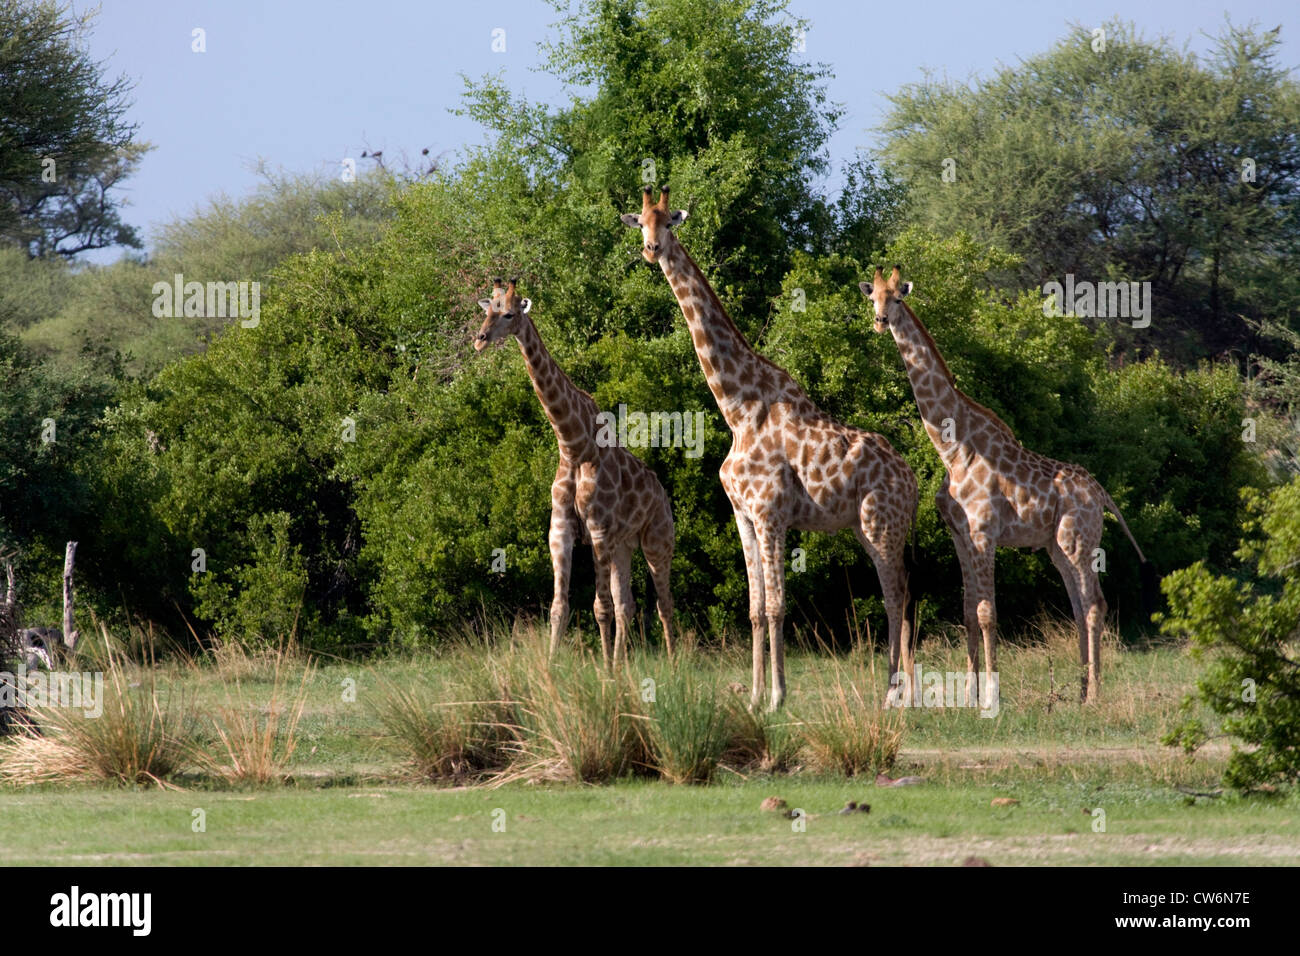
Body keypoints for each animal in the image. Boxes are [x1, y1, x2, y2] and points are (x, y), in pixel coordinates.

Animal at [474, 279, 675, 667]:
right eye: (487, 310)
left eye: (509, 314)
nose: (479, 339)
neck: (572, 445)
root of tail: (662, 493)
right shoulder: (561, 530)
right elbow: (559, 607)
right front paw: (555, 668)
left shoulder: (597, 529)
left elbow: (600, 607)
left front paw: (605, 672)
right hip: (623, 545)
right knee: (628, 604)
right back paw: (623, 663)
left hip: (657, 541)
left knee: (663, 604)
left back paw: (674, 663)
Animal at [622, 187, 918, 710]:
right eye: (640, 221)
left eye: (670, 221)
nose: (652, 250)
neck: (738, 409)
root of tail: (915, 482)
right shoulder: (743, 514)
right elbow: (756, 608)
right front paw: (755, 697)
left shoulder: (771, 512)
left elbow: (779, 604)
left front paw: (779, 696)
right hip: (867, 528)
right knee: (898, 591)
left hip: (881, 523)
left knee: (895, 594)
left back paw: (891, 695)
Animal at [860, 265, 1151, 703]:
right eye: (872, 297)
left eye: (897, 298)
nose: (879, 322)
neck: (952, 448)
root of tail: (1100, 492)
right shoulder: (960, 535)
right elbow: (967, 610)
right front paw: (968, 694)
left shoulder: (984, 532)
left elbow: (986, 612)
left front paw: (991, 694)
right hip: (1056, 545)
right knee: (1078, 605)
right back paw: (1080, 689)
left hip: (1078, 539)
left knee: (1094, 604)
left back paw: (1094, 694)